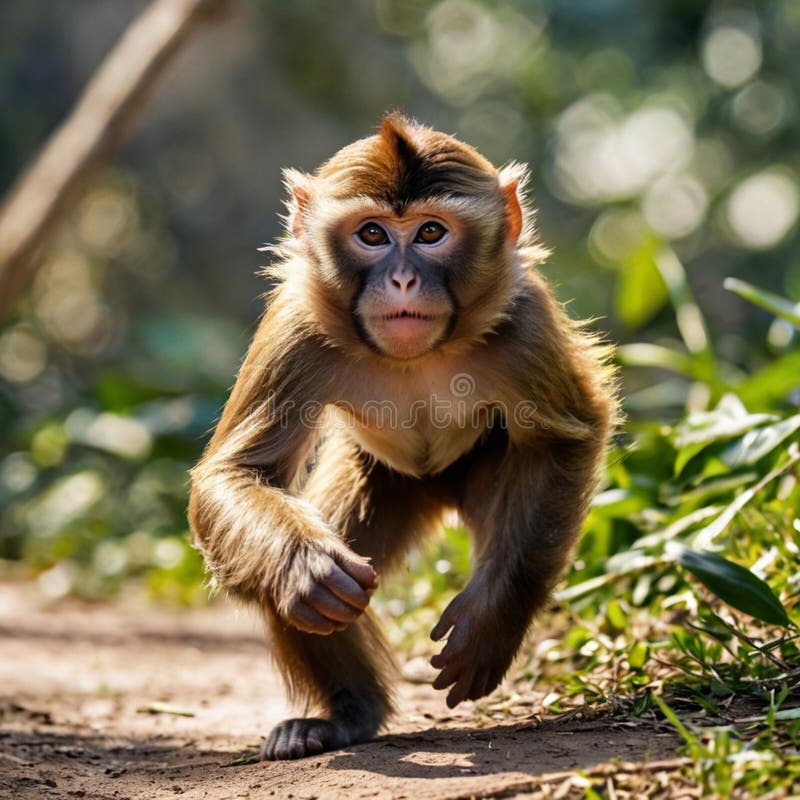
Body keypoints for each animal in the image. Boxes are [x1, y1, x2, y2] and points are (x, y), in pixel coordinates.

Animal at [188, 113, 618, 761]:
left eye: (431, 232)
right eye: (371, 234)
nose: (404, 279)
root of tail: (437, 487)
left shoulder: (525, 322)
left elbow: (563, 437)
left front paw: (492, 621)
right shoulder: (294, 328)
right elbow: (238, 473)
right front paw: (304, 568)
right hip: (380, 480)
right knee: (296, 583)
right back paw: (345, 715)